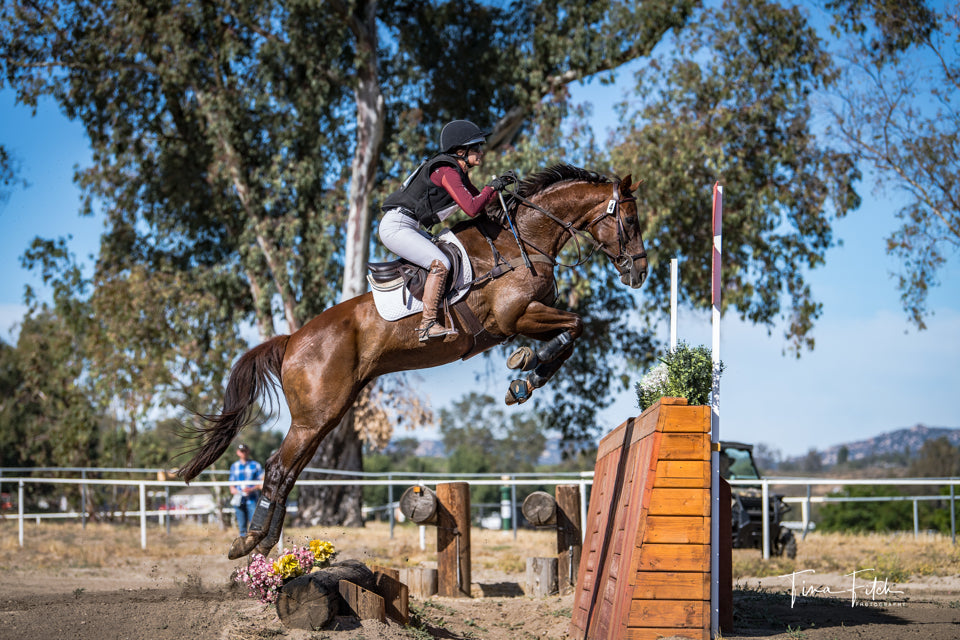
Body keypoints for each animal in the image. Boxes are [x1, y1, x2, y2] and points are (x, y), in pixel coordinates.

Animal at [177, 164, 648, 559]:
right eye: (630, 221)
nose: (638, 273)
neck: (521, 241)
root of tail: (293, 338)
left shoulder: (524, 319)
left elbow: (569, 336)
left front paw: (525, 378)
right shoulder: (516, 316)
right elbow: (576, 326)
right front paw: (526, 368)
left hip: (326, 415)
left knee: (289, 470)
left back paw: (265, 541)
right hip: (316, 415)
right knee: (277, 467)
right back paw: (250, 540)